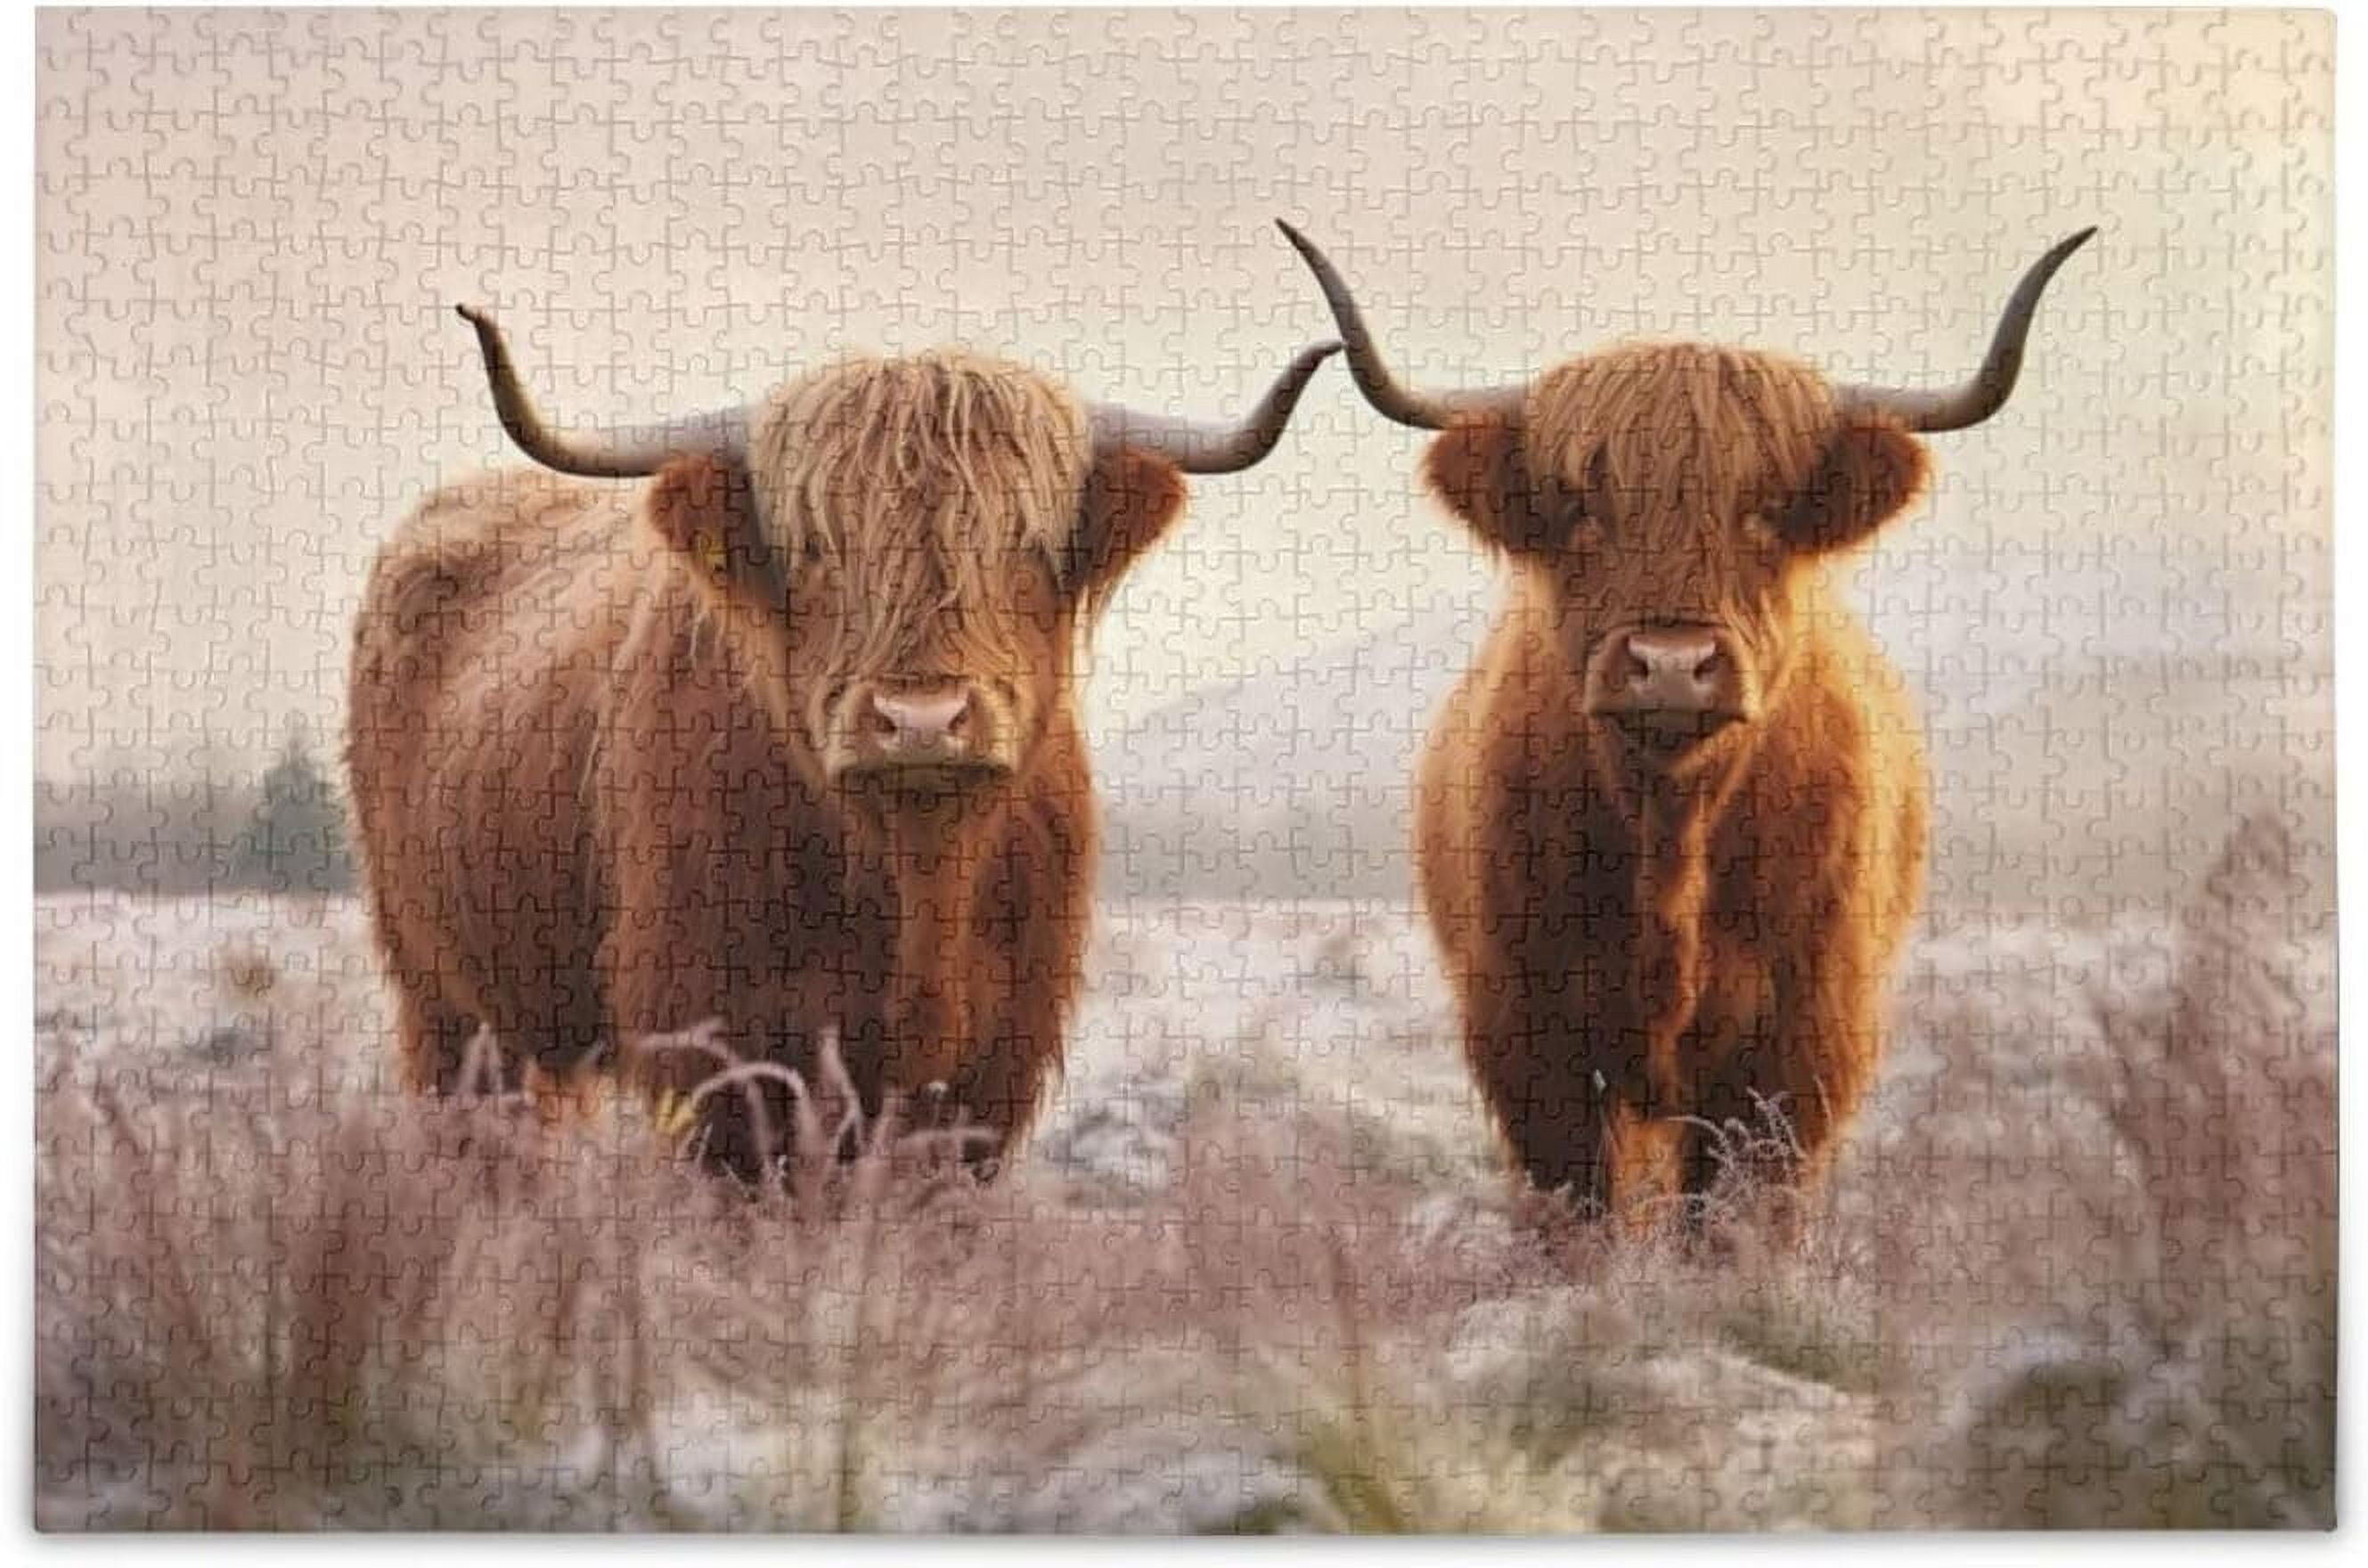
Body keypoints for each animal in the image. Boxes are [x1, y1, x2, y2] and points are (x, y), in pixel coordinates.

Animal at [347, 309, 1338, 1178]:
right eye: (819, 546)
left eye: (1022, 543)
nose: (921, 719)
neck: (915, 884)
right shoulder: (719, 1048)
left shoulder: (991, 1068)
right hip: (448, 1006)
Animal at [1280, 221, 2093, 1227]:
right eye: (1583, 507)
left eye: (1767, 509)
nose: (1671, 664)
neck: (1672, 828)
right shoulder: (1533, 1047)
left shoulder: (1797, 1050)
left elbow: (1738, 1222)